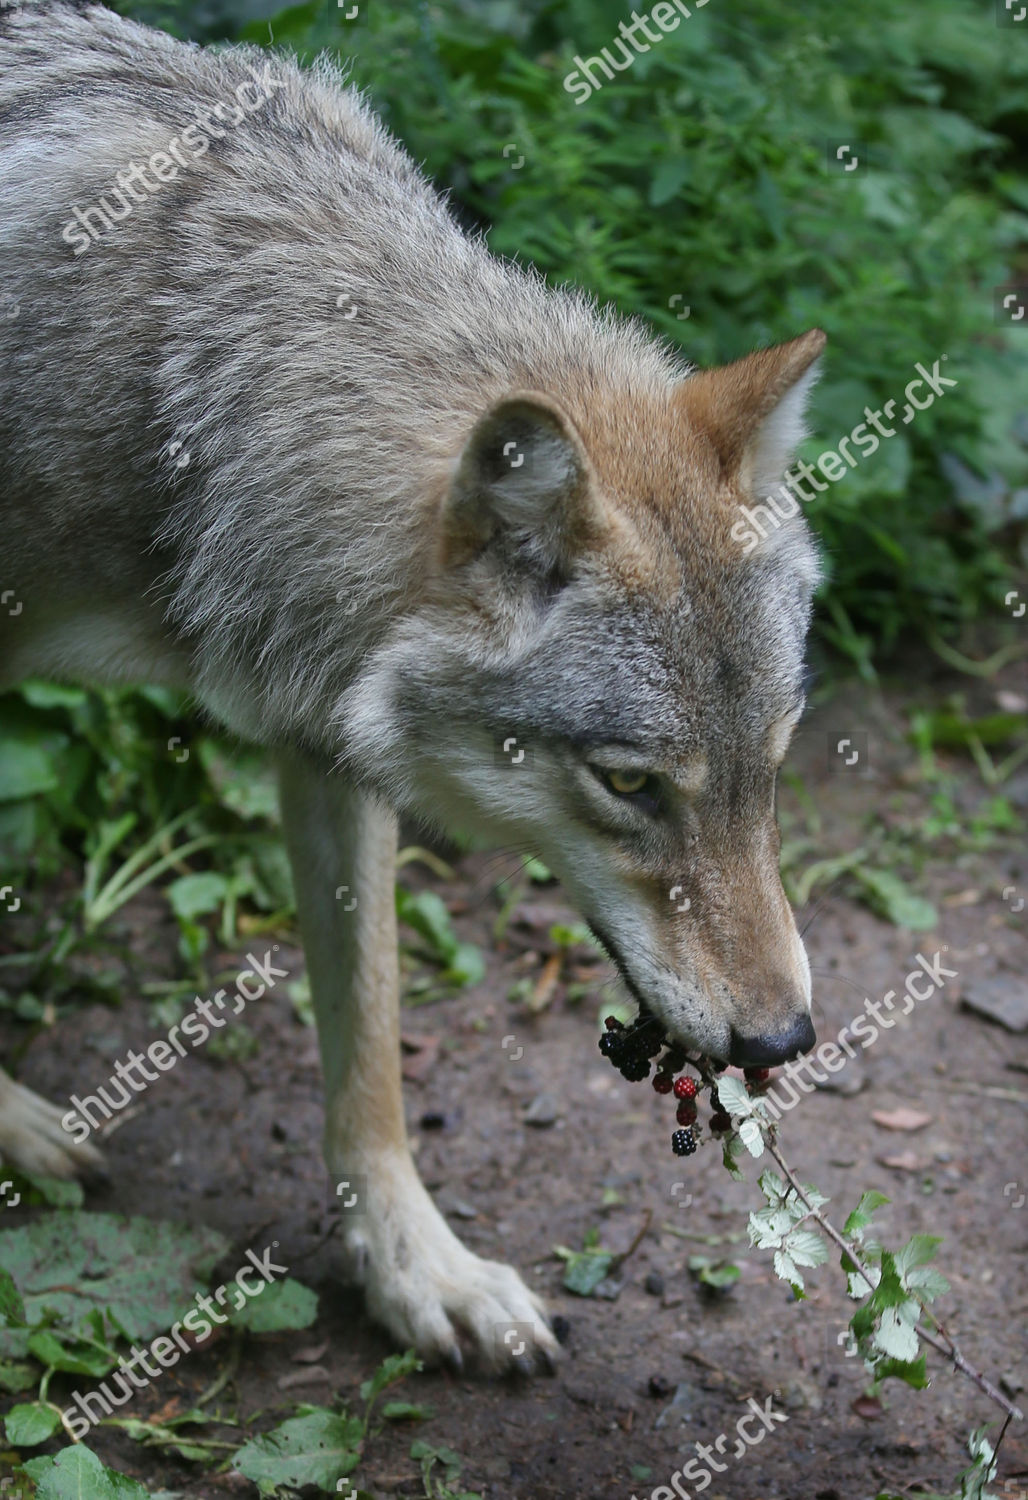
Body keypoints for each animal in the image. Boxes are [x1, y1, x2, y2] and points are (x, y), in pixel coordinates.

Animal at [0, 0, 824, 1372]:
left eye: (776, 760)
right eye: (628, 786)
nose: (781, 1041)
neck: (177, 387)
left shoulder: (321, 742)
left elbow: (368, 1037)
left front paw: (414, 1270)